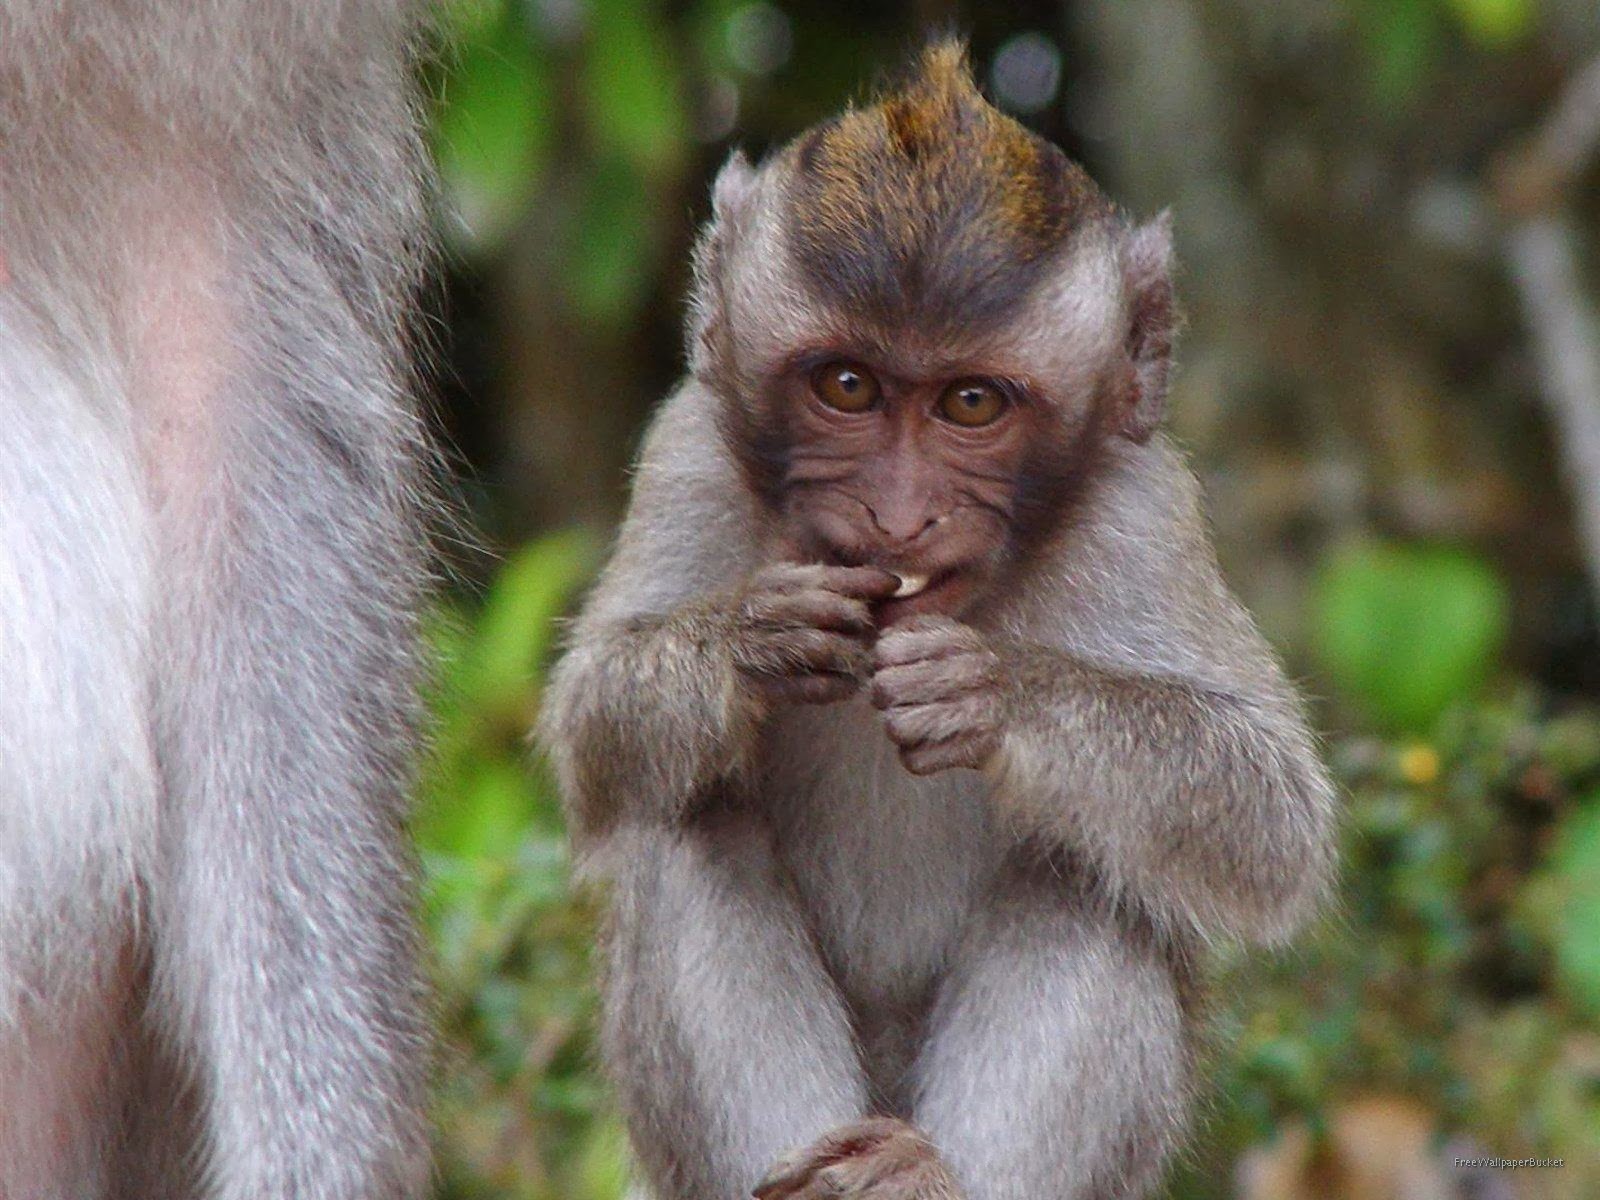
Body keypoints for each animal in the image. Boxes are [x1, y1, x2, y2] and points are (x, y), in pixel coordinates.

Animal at [540, 40, 1337, 1200]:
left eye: (970, 404)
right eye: (846, 386)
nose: (899, 514)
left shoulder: (1143, 513)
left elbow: (1271, 813)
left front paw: (988, 690)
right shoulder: (686, 453)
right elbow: (592, 734)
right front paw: (750, 646)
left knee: (1085, 868)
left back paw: (925, 1176)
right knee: (691, 824)